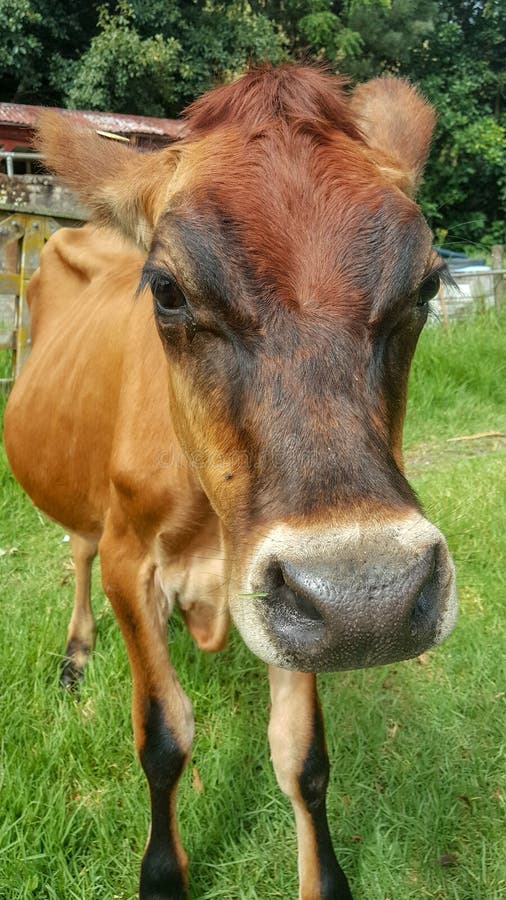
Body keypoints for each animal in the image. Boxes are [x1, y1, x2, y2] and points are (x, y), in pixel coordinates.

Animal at [4, 64, 457, 900]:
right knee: (78, 547)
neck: (211, 525)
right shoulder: (131, 559)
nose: (369, 602)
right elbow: (163, 736)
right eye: (167, 289)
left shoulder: (284, 597)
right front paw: (162, 876)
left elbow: (302, 757)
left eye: (429, 285)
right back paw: (77, 653)